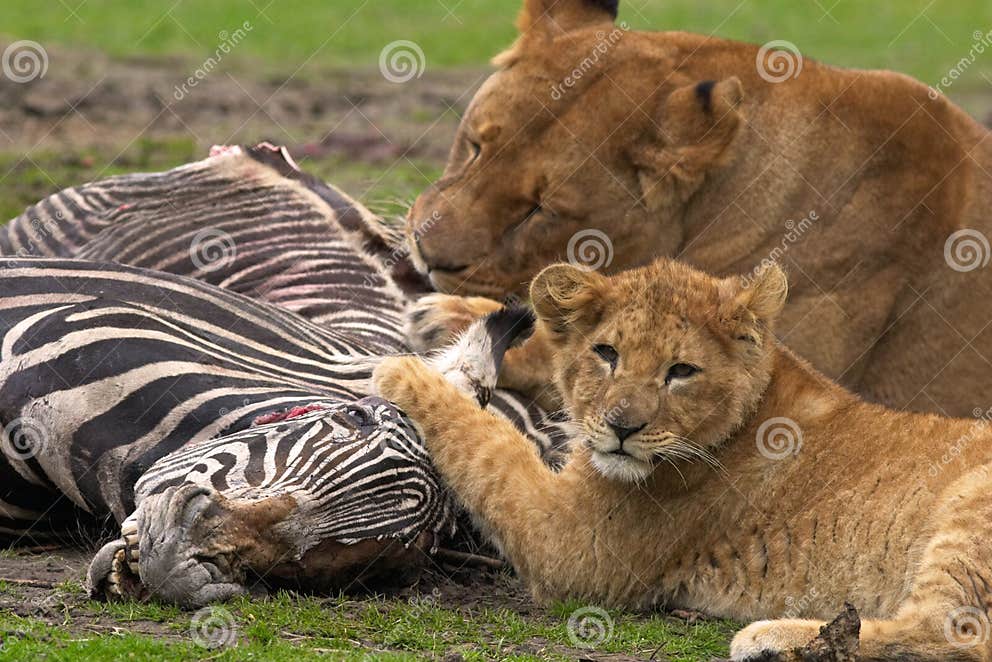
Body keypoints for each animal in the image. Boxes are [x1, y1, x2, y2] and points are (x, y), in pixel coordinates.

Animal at [376, 261, 992, 660]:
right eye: (606, 354)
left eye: (682, 371)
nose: (622, 427)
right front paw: (449, 315)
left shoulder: (571, 545)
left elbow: (489, 446)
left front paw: (408, 372)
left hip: (970, 503)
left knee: (955, 635)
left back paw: (777, 641)